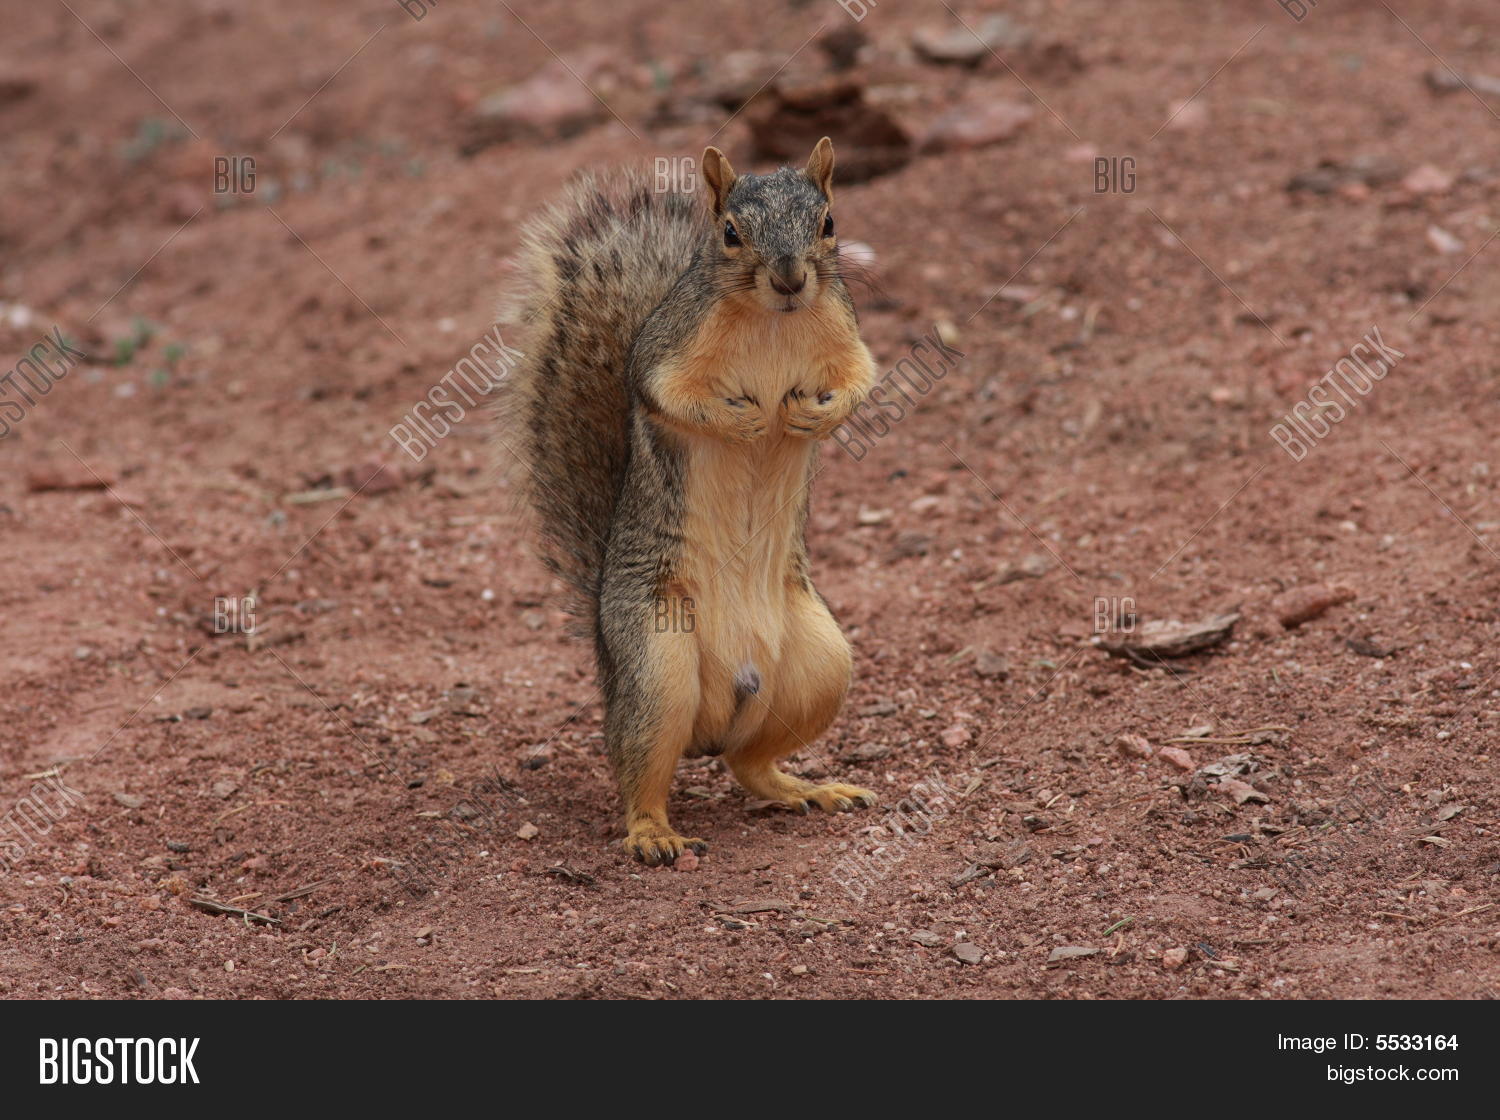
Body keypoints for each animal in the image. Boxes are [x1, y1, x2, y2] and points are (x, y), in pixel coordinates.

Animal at [497, 138, 878, 865]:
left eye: (829, 222)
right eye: (729, 232)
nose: (790, 279)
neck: (773, 322)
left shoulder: (848, 339)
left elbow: (862, 384)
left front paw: (813, 416)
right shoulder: (665, 351)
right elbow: (669, 396)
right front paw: (744, 421)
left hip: (823, 667)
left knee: (747, 762)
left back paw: (806, 788)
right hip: (657, 662)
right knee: (639, 767)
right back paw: (653, 833)